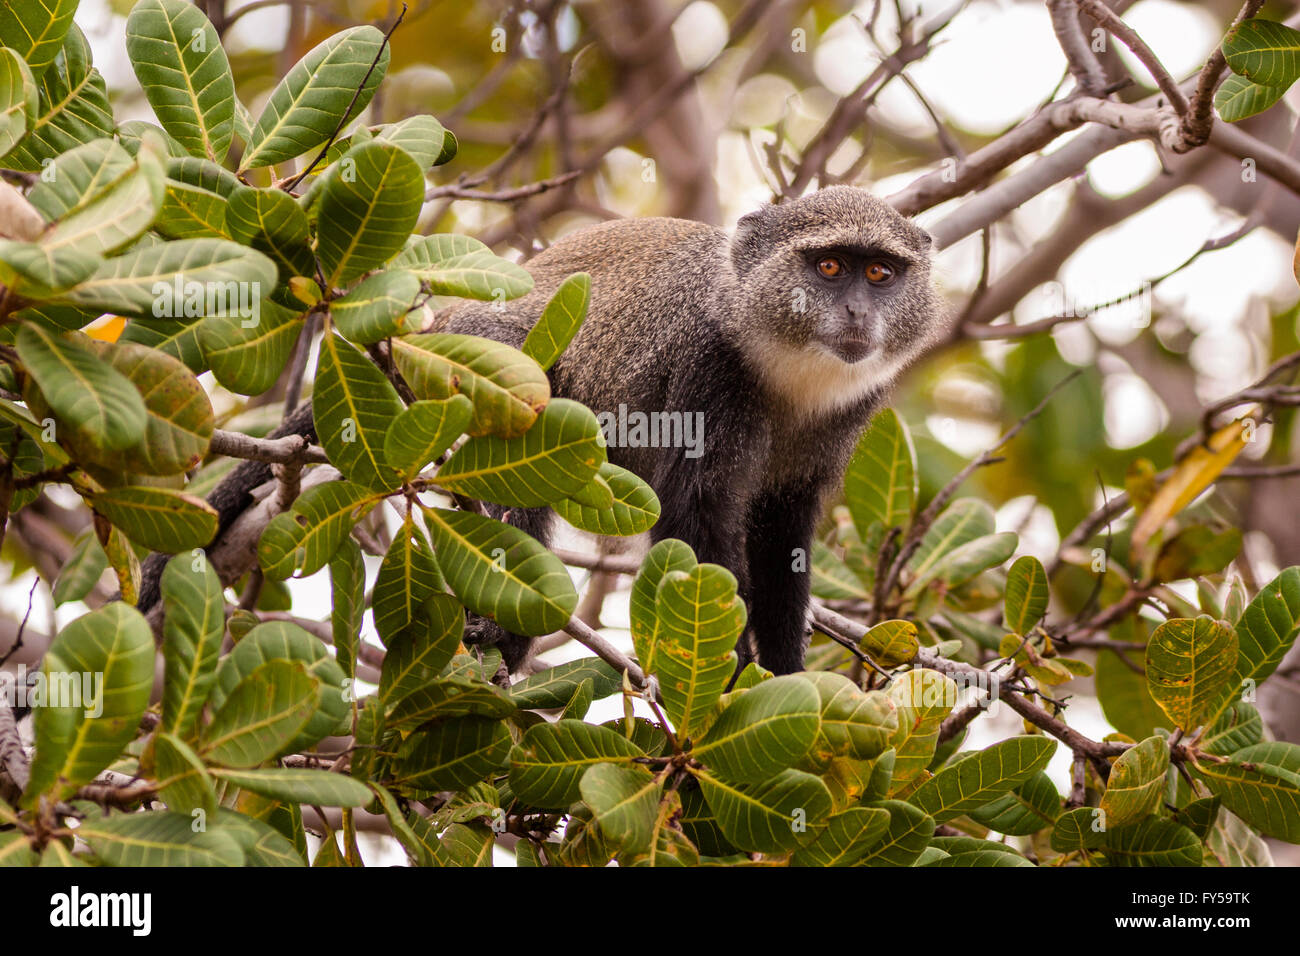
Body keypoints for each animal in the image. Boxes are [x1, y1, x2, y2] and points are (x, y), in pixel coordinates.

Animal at [436, 186, 944, 675]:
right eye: (830, 266)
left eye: (879, 272)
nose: (857, 311)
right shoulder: (707, 363)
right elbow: (693, 510)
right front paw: (730, 672)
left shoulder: (848, 413)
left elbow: (781, 534)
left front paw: (786, 673)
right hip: (492, 355)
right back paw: (501, 634)